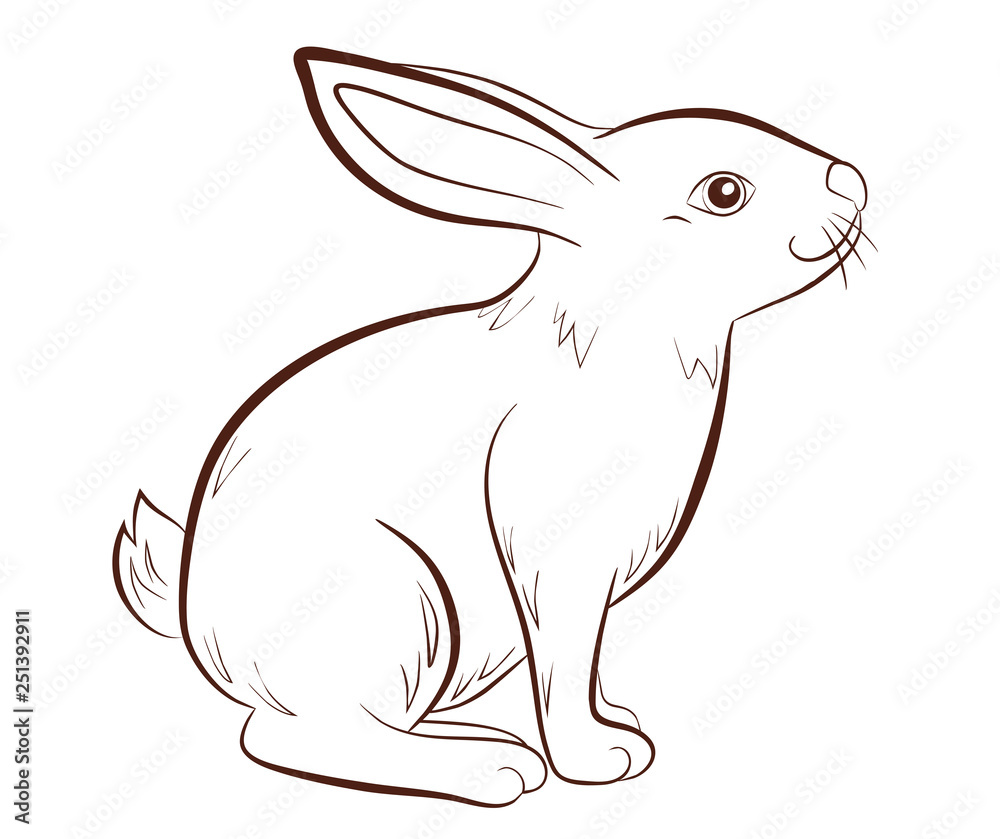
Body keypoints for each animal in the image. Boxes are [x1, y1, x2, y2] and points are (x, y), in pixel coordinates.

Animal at [114, 47, 872, 807]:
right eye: (724, 192)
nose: (852, 180)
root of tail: (202, 637)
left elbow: (587, 663)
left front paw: (619, 720)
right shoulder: (555, 562)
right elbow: (564, 664)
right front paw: (599, 759)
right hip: (405, 604)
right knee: (295, 738)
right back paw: (495, 768)